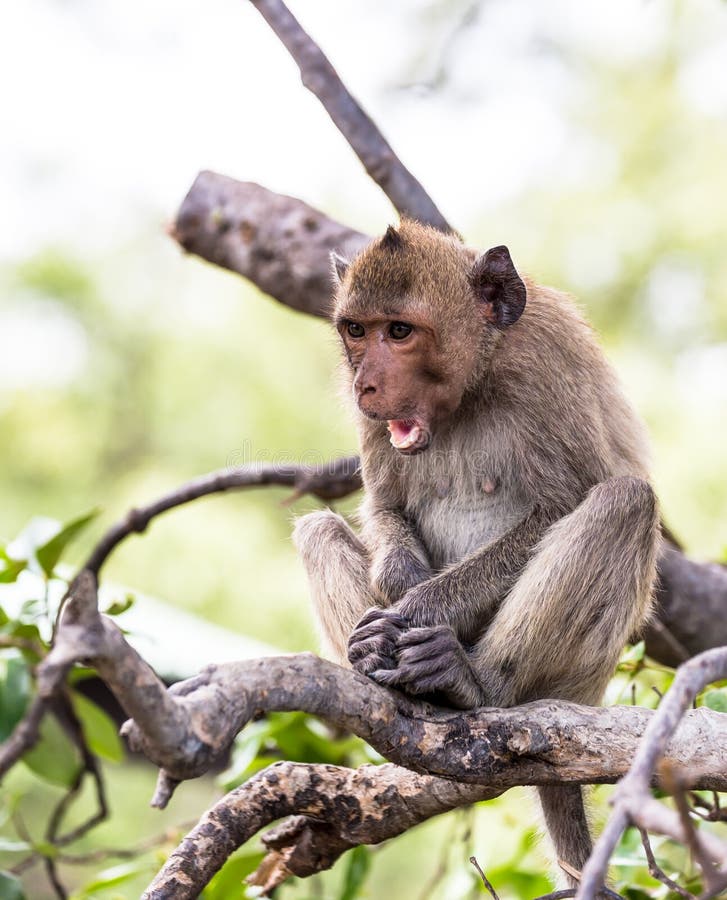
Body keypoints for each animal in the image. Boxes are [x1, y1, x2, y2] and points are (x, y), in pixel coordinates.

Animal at [293, 218, 660, 888]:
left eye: (400, 331)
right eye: (356, 330)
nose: (366, 385)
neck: (476, 380)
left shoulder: (543, 362)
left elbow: (562, 504)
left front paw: (417, 608)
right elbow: (385, 505)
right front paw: (400, 578)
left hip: (582, 673)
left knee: (624, 502)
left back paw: (471, 681)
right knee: (316, 530)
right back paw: (385, 676)